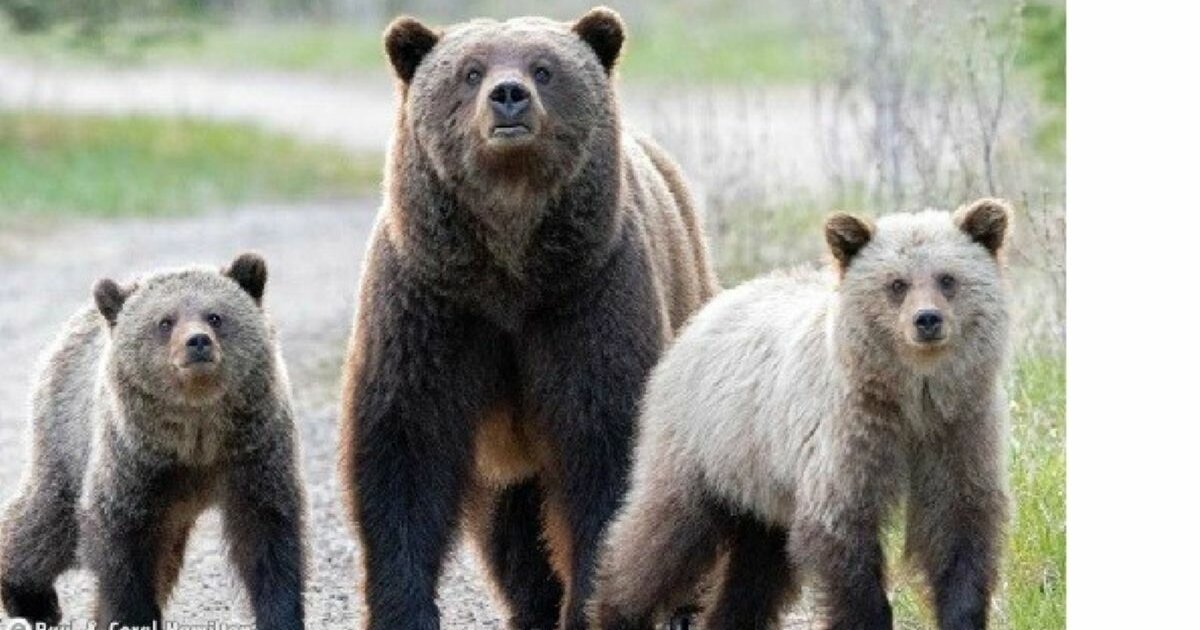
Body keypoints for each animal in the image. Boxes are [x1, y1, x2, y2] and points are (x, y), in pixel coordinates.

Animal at [0, 253, 306, 629]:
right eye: (165, 321)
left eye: (215, 316)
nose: (198, 342)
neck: (196, 433)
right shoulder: (135, 461)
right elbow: (122, 545)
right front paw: (130, 616)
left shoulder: (253, 450)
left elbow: (268, 535)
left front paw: (281, 615)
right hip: (66, 438)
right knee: (48, 524)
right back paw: (31, 599)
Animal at [337, 6, 717, 630]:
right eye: (469, 71)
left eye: (544, 67)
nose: (508, 96)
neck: (510, 267)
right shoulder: (431, 303)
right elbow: (404, 451)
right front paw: (404, 609)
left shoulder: (587, 298)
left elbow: (607, 447)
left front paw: (592, 607)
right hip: (505, 455)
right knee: (511, 531)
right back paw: (532, 606)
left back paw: (682, 607)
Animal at [592, 199, 1013, 630]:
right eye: (897, 284)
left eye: (947, 278)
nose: (927, 319)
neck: (912, 399)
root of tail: (708, 307)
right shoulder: (849, 438)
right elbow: (842, 539)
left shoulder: (957, 431)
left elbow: (958, 529)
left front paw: (963, 613)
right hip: (704, 446)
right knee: (663, 535)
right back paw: (614, 607)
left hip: (762, 481)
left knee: (757, 571)